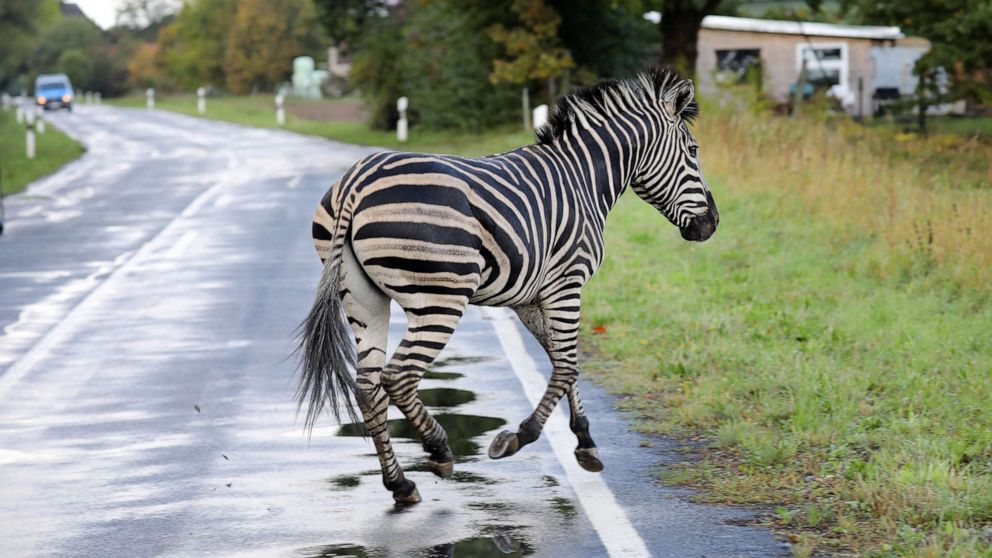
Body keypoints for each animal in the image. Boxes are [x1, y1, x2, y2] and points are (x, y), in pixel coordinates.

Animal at [298, 67, 719, 504]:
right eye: (693, 150)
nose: (711, 224)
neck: (583, 178)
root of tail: (357, 182)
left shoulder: (530, 298)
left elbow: (562, 360)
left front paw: (586, 442)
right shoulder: (567, 283)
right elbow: (566, 365)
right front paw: (519, 437)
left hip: (363, 297)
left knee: (367, 386)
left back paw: (400, 484)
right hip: (439, 298)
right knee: (398, 377)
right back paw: (439, 450)